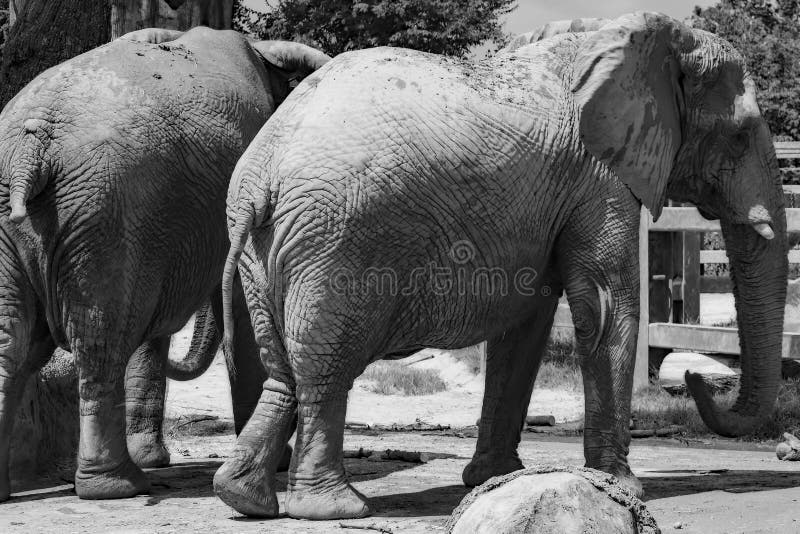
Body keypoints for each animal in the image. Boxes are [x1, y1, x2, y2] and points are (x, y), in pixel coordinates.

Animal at [0, 26, 330, 502]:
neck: (265, 50)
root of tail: (31, 144)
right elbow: (242, 310)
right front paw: (281, 462)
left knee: (17, 342)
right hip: (105, 214)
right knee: (101, 337)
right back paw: (119, 485)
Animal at [215, 11, 787, 520]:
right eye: (740, 135)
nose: (693, 375)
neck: (627, 32)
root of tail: (262, 177)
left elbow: (525, 323)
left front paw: (494, 480)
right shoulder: (600, 177)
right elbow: (606, 307)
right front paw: (621, 486)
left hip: (267, 251)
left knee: (282, 371)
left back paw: (244, 498)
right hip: (338, 244)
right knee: (325, 368)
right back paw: (334, 508)